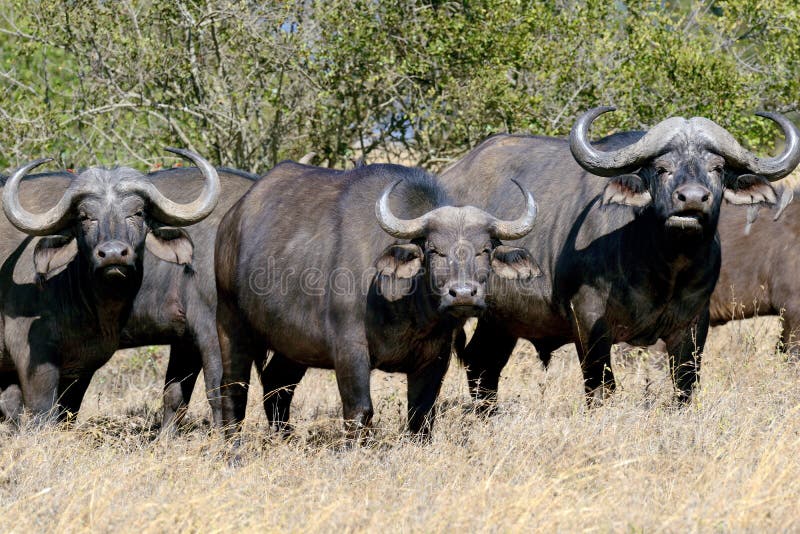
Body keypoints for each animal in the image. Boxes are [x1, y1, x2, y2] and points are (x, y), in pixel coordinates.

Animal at [0, 150, 220, 424]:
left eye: (138, 213)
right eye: (85, 217)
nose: (113, 254)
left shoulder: (81, 367)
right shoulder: (33, 359)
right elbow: (42, 413)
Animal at [215, 163, 538, 439]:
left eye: (485, 249)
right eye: (434, 250)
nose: (462, 294)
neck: (405, 308)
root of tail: (231, 221)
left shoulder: (436, 356)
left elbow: (421, 415)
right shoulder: (349, 349)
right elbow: (359, 411)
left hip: (294, 344)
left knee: (277, 384)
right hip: (231, 324)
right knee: (233, 388)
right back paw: (233, 447)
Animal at [441, 107, 800, 408]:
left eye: (717, 168)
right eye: (661, 168)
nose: (692, 200)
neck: (662, 267)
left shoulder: (694, 323)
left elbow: (684, 386)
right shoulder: (588, 321)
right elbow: (601, 387)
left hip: (502, 320)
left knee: (482, 363)